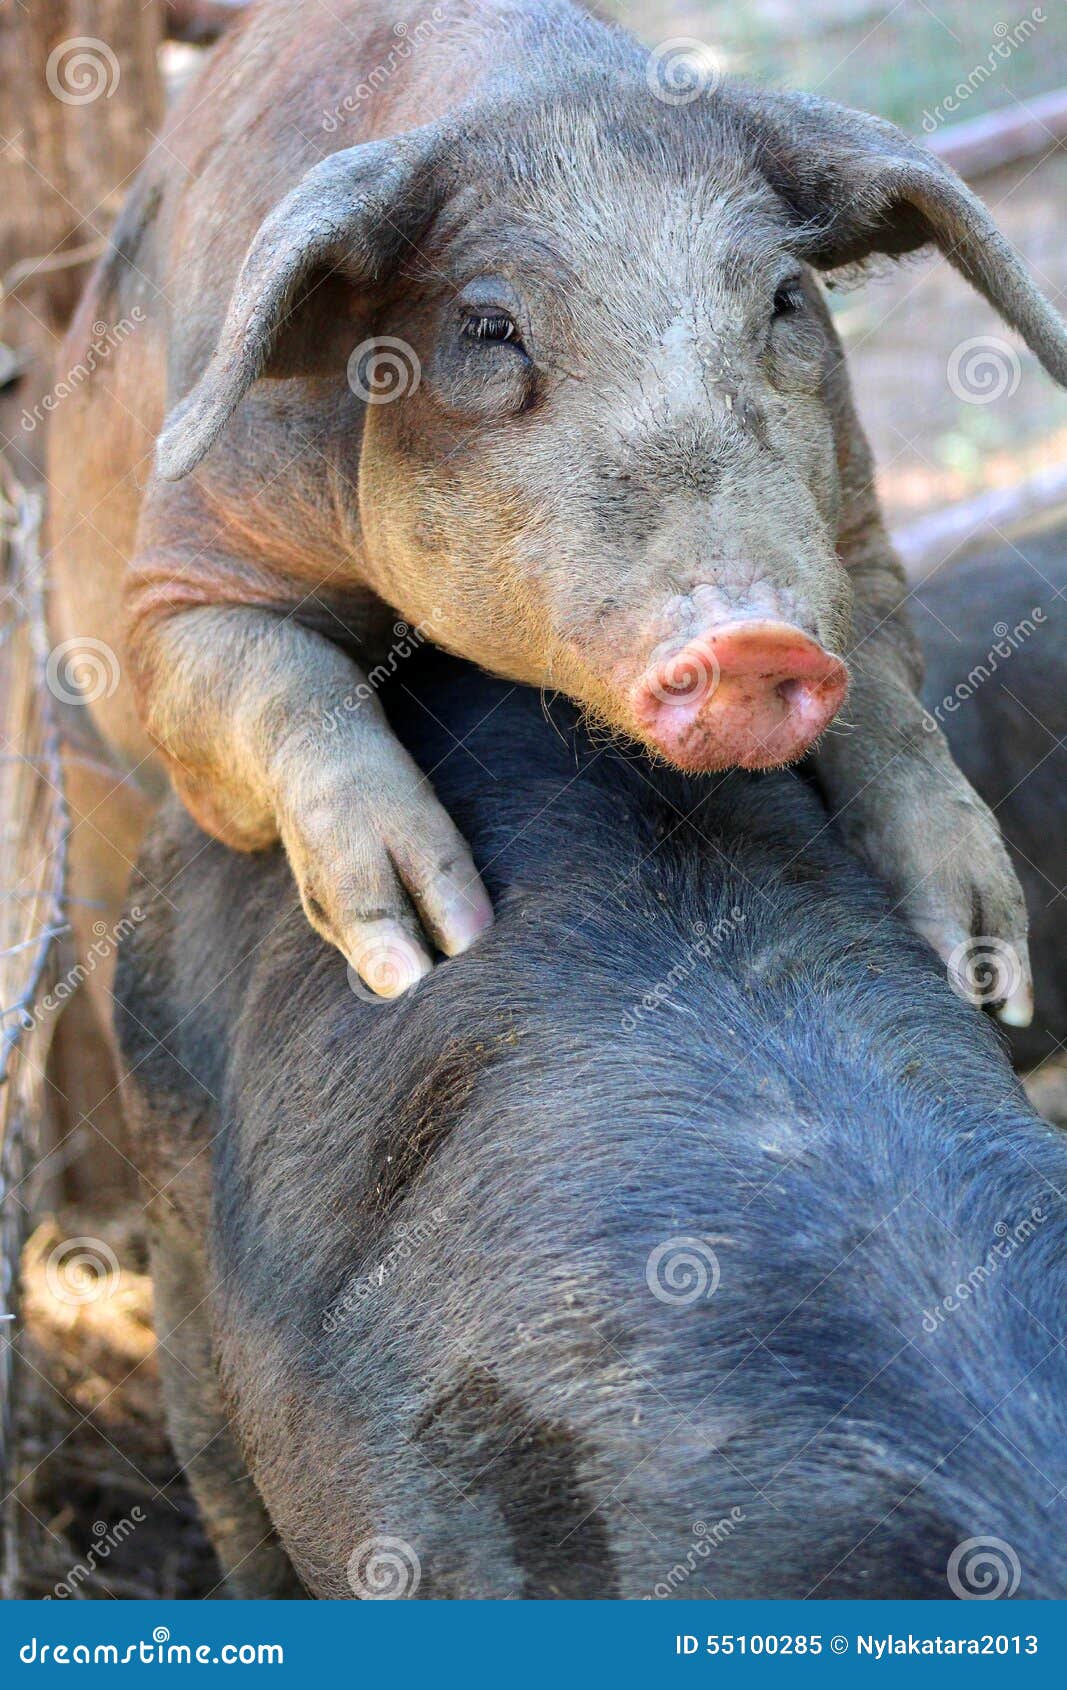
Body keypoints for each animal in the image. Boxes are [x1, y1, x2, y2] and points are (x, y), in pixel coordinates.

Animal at [47, 0, 1067, 1017]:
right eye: (488, 328)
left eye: (783, 298)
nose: (750, 640)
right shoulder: (173, 578)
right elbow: (278, 680)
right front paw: (428, 950)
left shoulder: (855, 527)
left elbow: (891, 700)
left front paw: (986, 975)